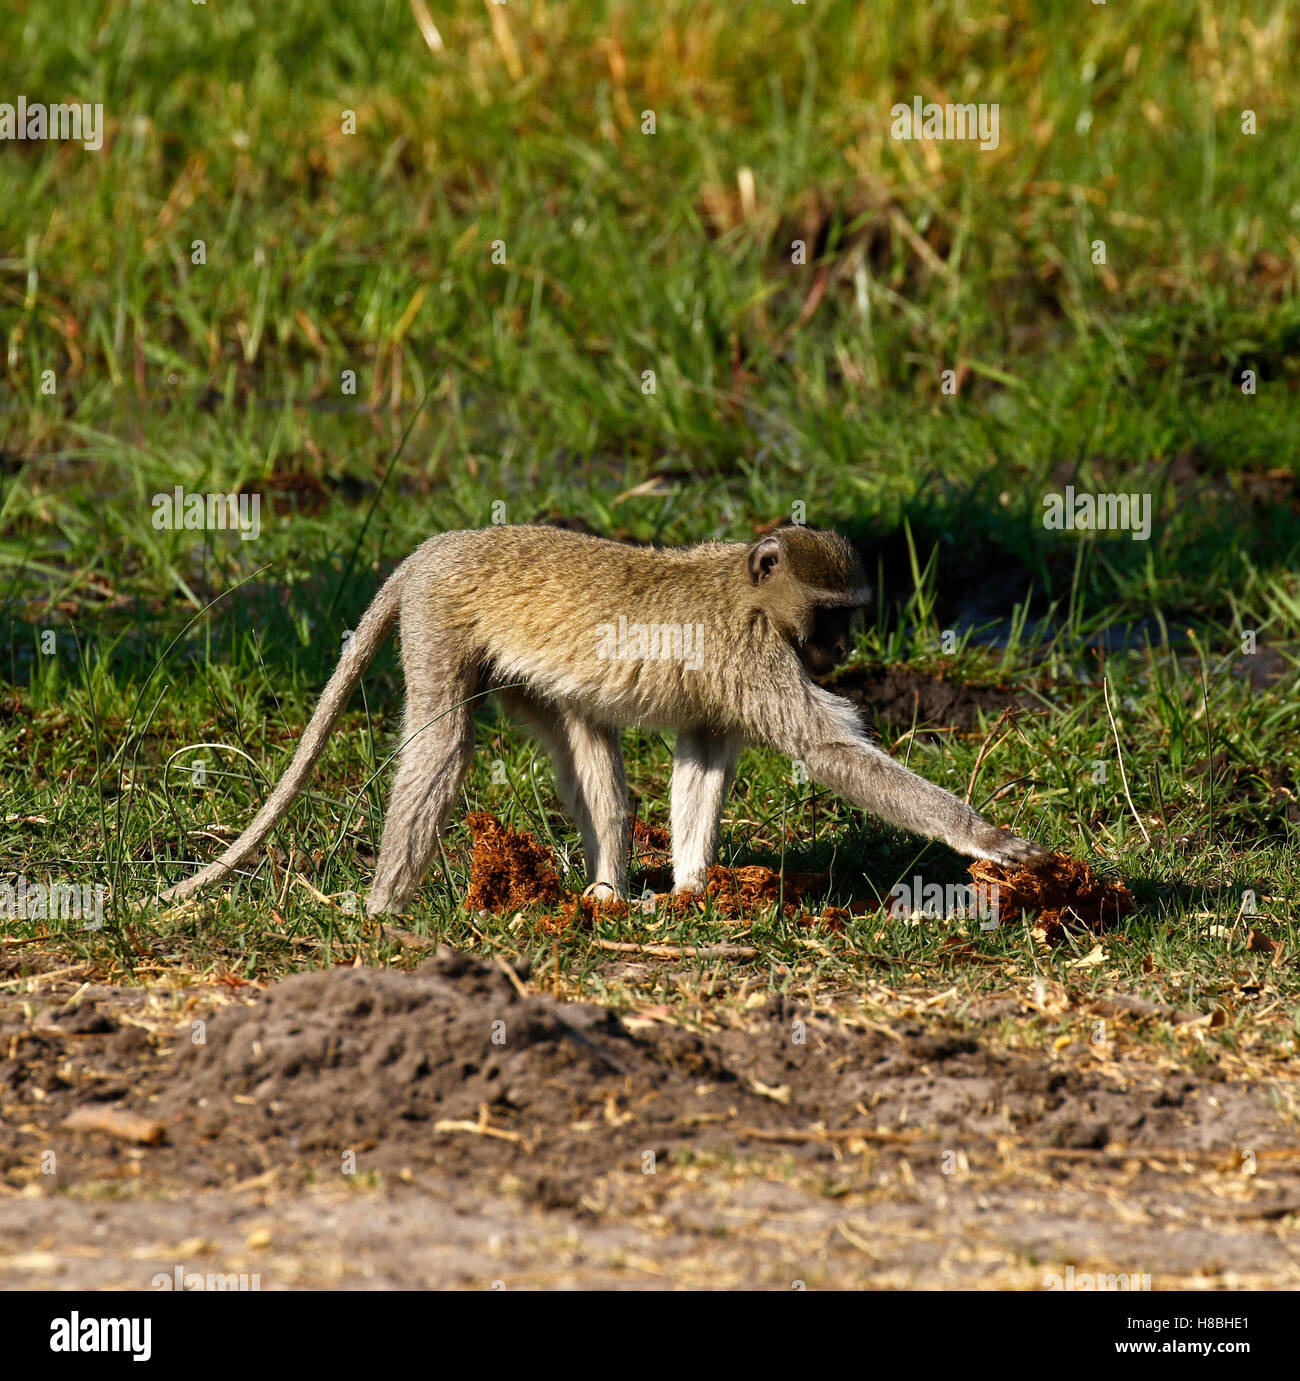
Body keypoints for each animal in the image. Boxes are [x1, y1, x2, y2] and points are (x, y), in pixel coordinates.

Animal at [155, 524, 1050, 915]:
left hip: (522, 670)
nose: (845, 646)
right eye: (833, 614)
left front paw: (692, 889)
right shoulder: (754, 656)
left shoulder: (726, 694)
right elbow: (828, 750)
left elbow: (702, 761)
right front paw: (988, 838)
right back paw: (385, 907)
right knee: (442, 745)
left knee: (586, 747)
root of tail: (437, 546)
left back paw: (609, 893)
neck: (746, 590)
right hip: (438, 620)